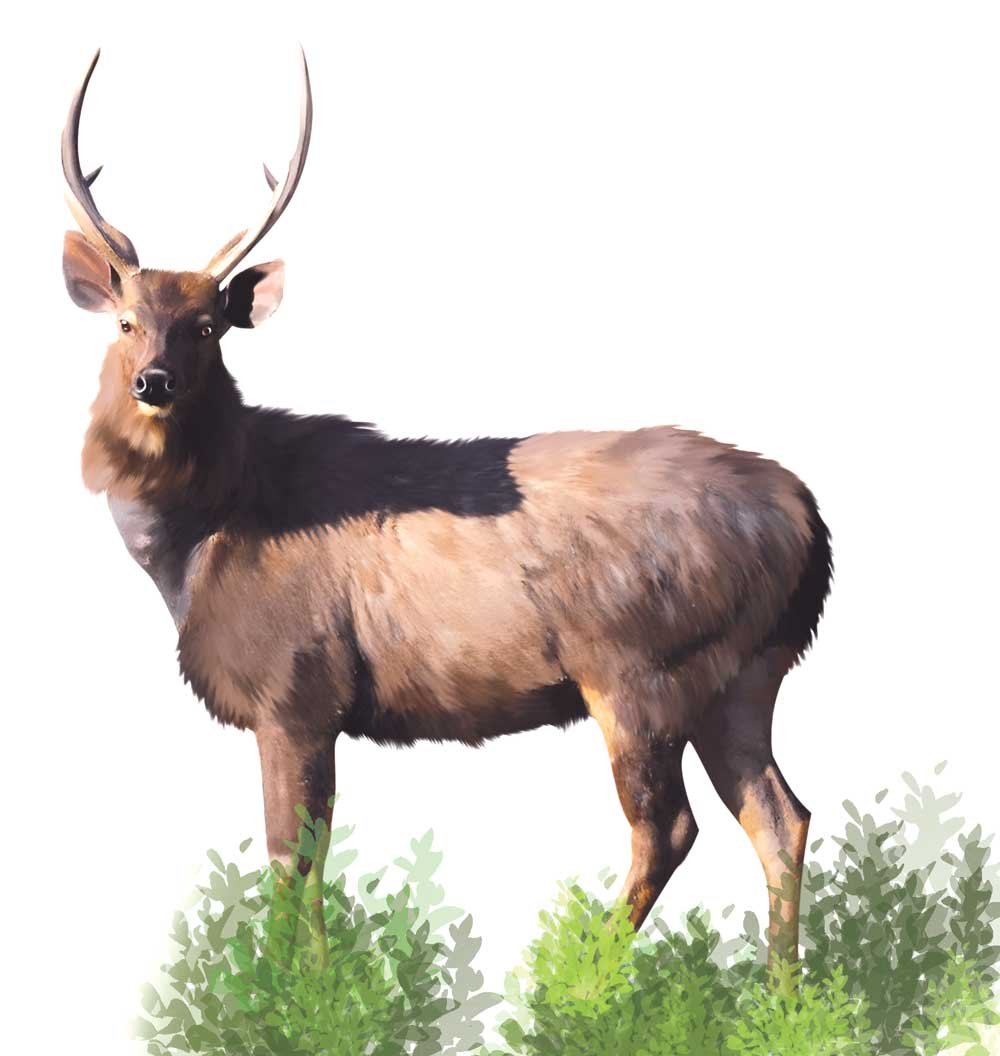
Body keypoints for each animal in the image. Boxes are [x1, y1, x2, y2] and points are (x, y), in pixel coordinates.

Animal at [62, 48, 831, 970]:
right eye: (126, 321)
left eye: (209, 327)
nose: (154, 382)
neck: (205, 541)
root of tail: (808, 519)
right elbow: (310, 865)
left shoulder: (295, 685)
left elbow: (290, 861)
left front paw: (297, 991)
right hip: (746, 671)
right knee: (781, 817)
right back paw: (783, 990)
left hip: (643, 664)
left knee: (669, 827)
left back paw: (582, 981)